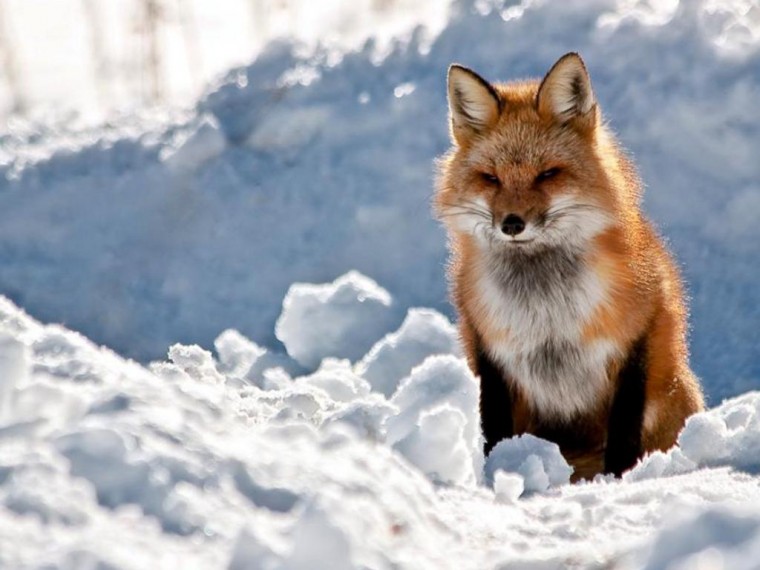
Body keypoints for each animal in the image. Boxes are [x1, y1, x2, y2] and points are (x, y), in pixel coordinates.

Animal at [434, 53, 705, 480]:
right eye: (490, 178)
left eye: (548, 174)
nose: (512, 224)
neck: (547, 310)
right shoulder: (489, 349)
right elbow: (494, 430)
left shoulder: (636, 340)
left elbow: (623, 436)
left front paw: (618, 481)